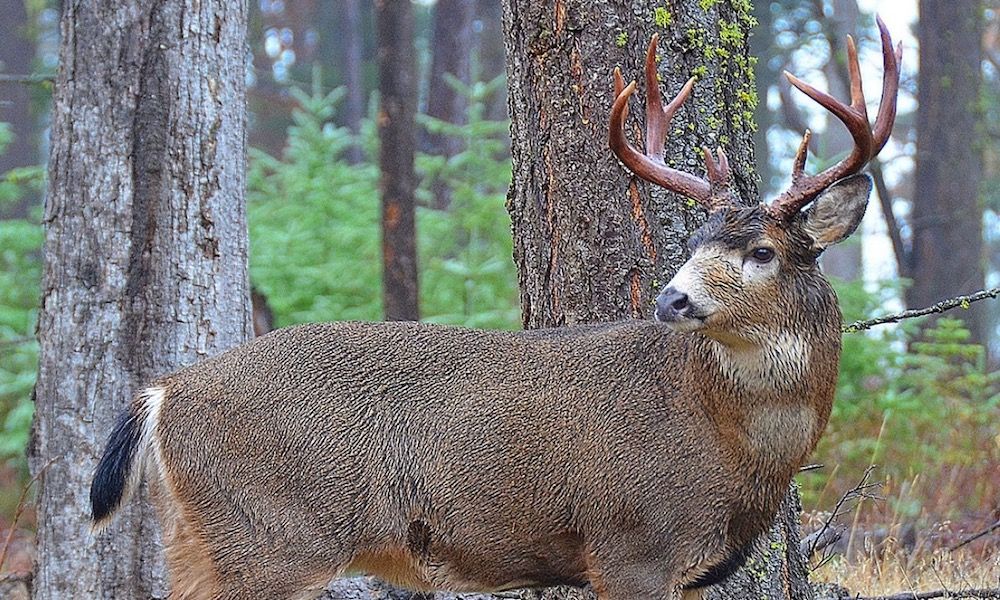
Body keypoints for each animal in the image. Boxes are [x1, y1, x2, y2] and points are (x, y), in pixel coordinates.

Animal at [89, 19, 900, 600]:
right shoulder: (631, 542)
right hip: (267, 538)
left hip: (196, 536)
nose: (671, 298)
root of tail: (165, 392)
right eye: (696, 241)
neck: (729, 442)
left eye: (762, 250)